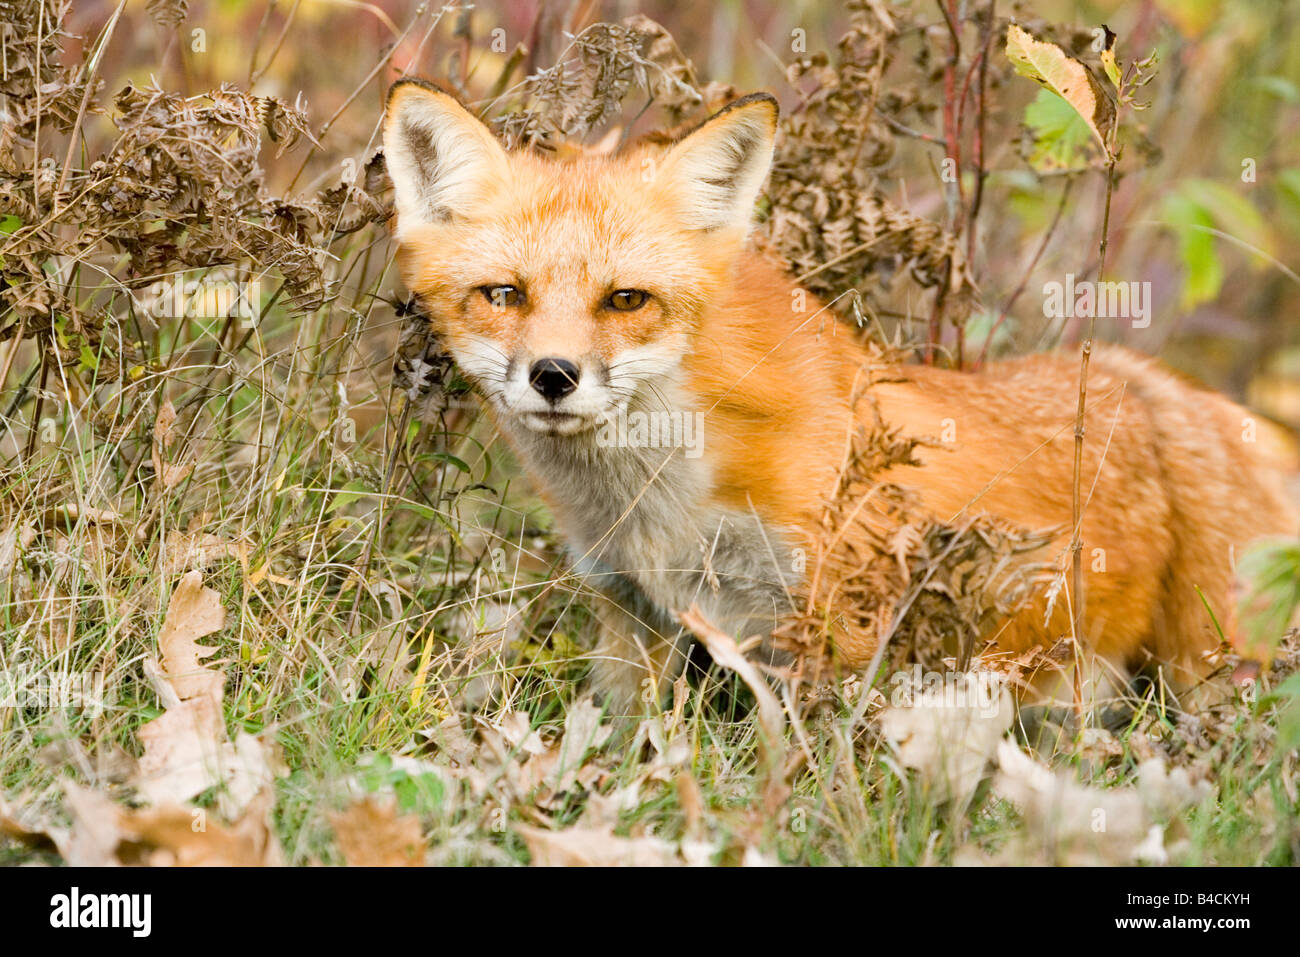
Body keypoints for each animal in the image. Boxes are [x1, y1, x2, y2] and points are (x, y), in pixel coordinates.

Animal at [381, 79, 1299, 714]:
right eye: (504, 295)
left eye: (626, 300)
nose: (554, 376)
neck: (665, 497)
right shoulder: (634, 611)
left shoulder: (840, 629)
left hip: (1210, 669)